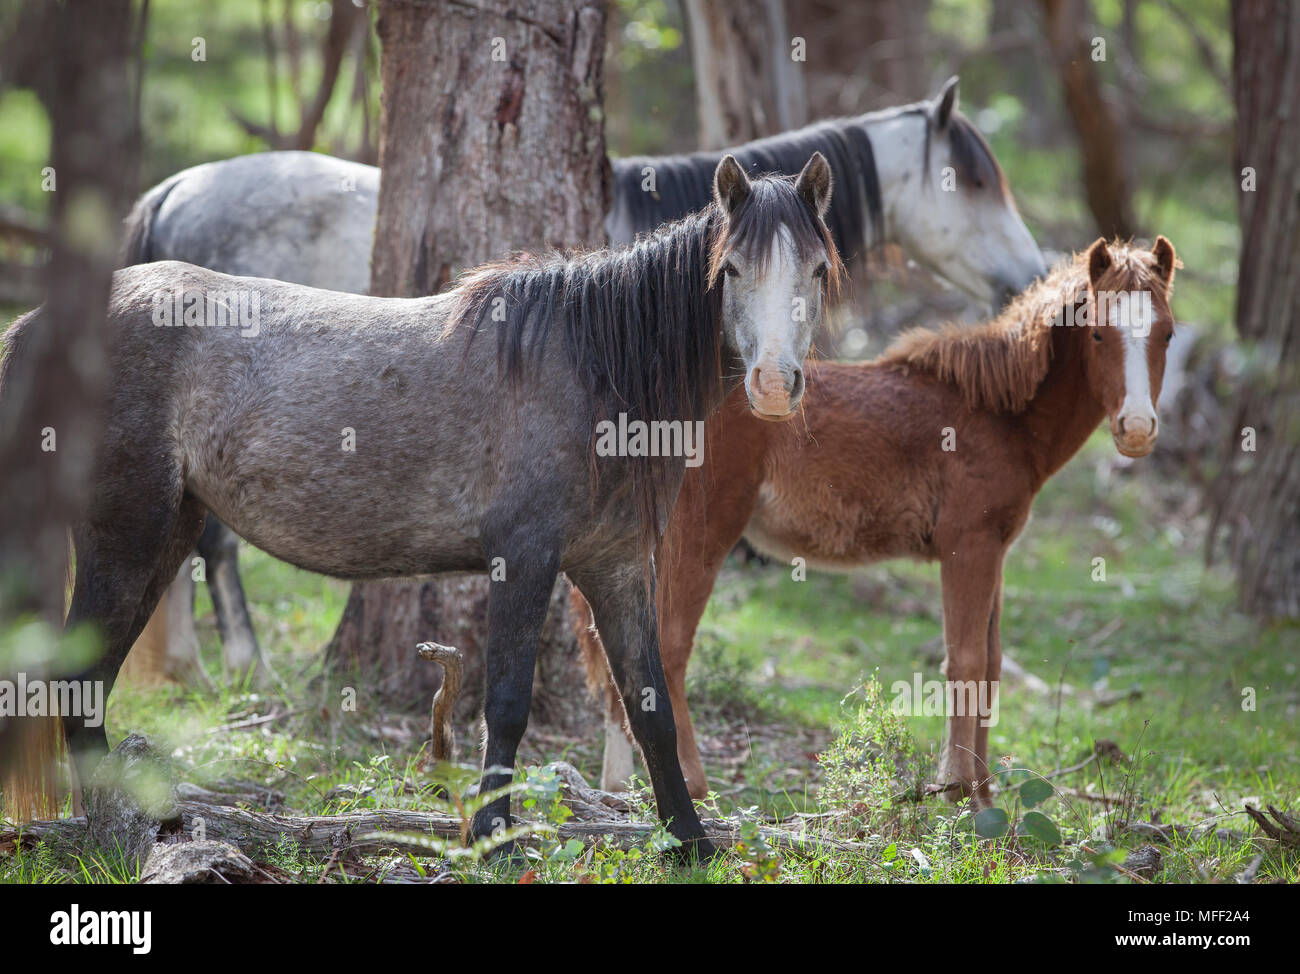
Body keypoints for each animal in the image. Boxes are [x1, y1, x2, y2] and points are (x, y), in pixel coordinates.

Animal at [1, 154, 845, 856]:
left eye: (816, 269)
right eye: (730, 269)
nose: (775, 385)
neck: (592, 367)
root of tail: (42, 326)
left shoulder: (616, 567)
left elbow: (651, 707)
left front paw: (689, 843)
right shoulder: (524, 559)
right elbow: (506, 705)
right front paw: (497, 841)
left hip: (165, 535)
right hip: (124, 539)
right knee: (77, 683)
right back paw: (114, 833)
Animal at [118, 77, 1047, 684]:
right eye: (971, 180)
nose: (1031, 274)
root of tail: (177, 185)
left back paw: (185, 667)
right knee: (213, 545)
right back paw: (243, 663)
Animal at [573, 236, 1179, 805]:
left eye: (1169, 334)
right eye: (1097, 335)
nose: (1137, 429)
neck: (997, 413)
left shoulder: (996, 549)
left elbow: (992, 662)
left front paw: (983, 791)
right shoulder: (968, 546)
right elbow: (964, 660)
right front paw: (958, 792)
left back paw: (622, 784)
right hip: (701, 532)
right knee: (669, 648)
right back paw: (695, 788)